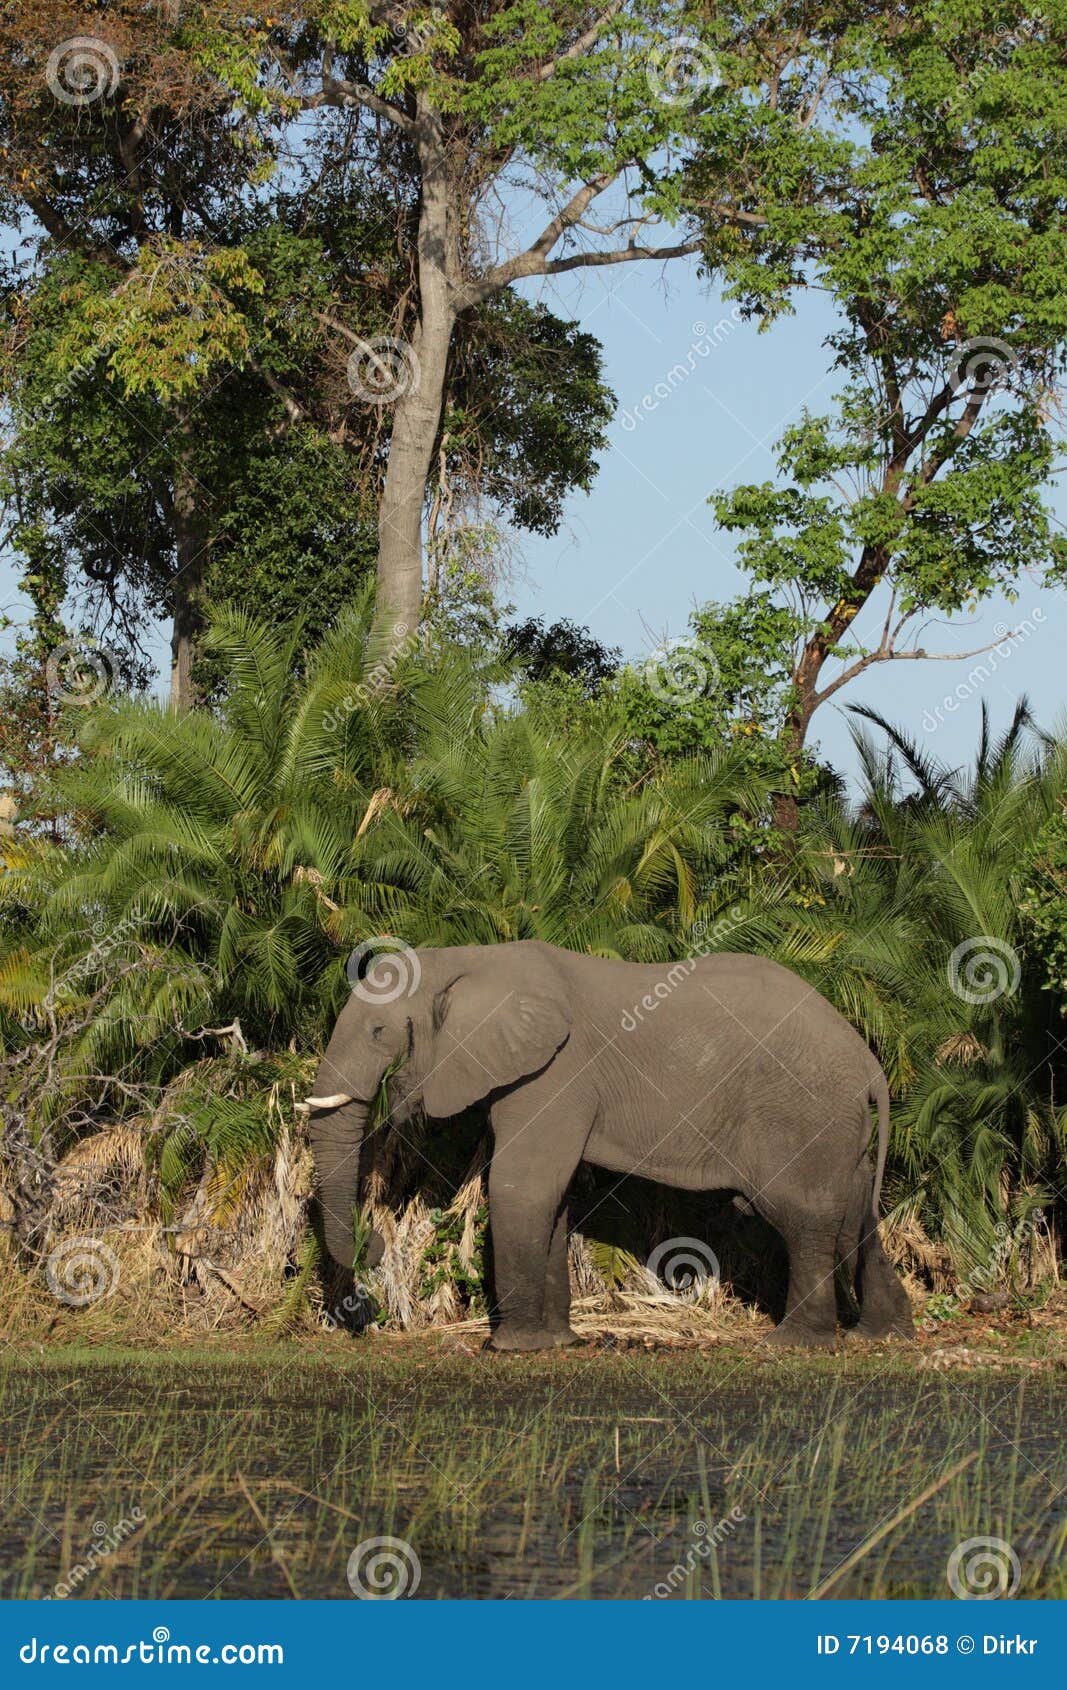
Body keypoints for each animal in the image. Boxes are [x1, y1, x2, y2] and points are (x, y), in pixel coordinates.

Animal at [302, 939, 913, 1350]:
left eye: (380, 1032)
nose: (376, 1244)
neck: (468, 959)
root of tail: (869, 1064)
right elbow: (554, 1199)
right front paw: (559, 1343)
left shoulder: (555, 1072)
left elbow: (522, 1185)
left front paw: (513, 1348)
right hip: (836, 1127)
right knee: (854, 1217)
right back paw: (884, 1337)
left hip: (802, 1113)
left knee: (805, 1218)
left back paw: (795, 1343)